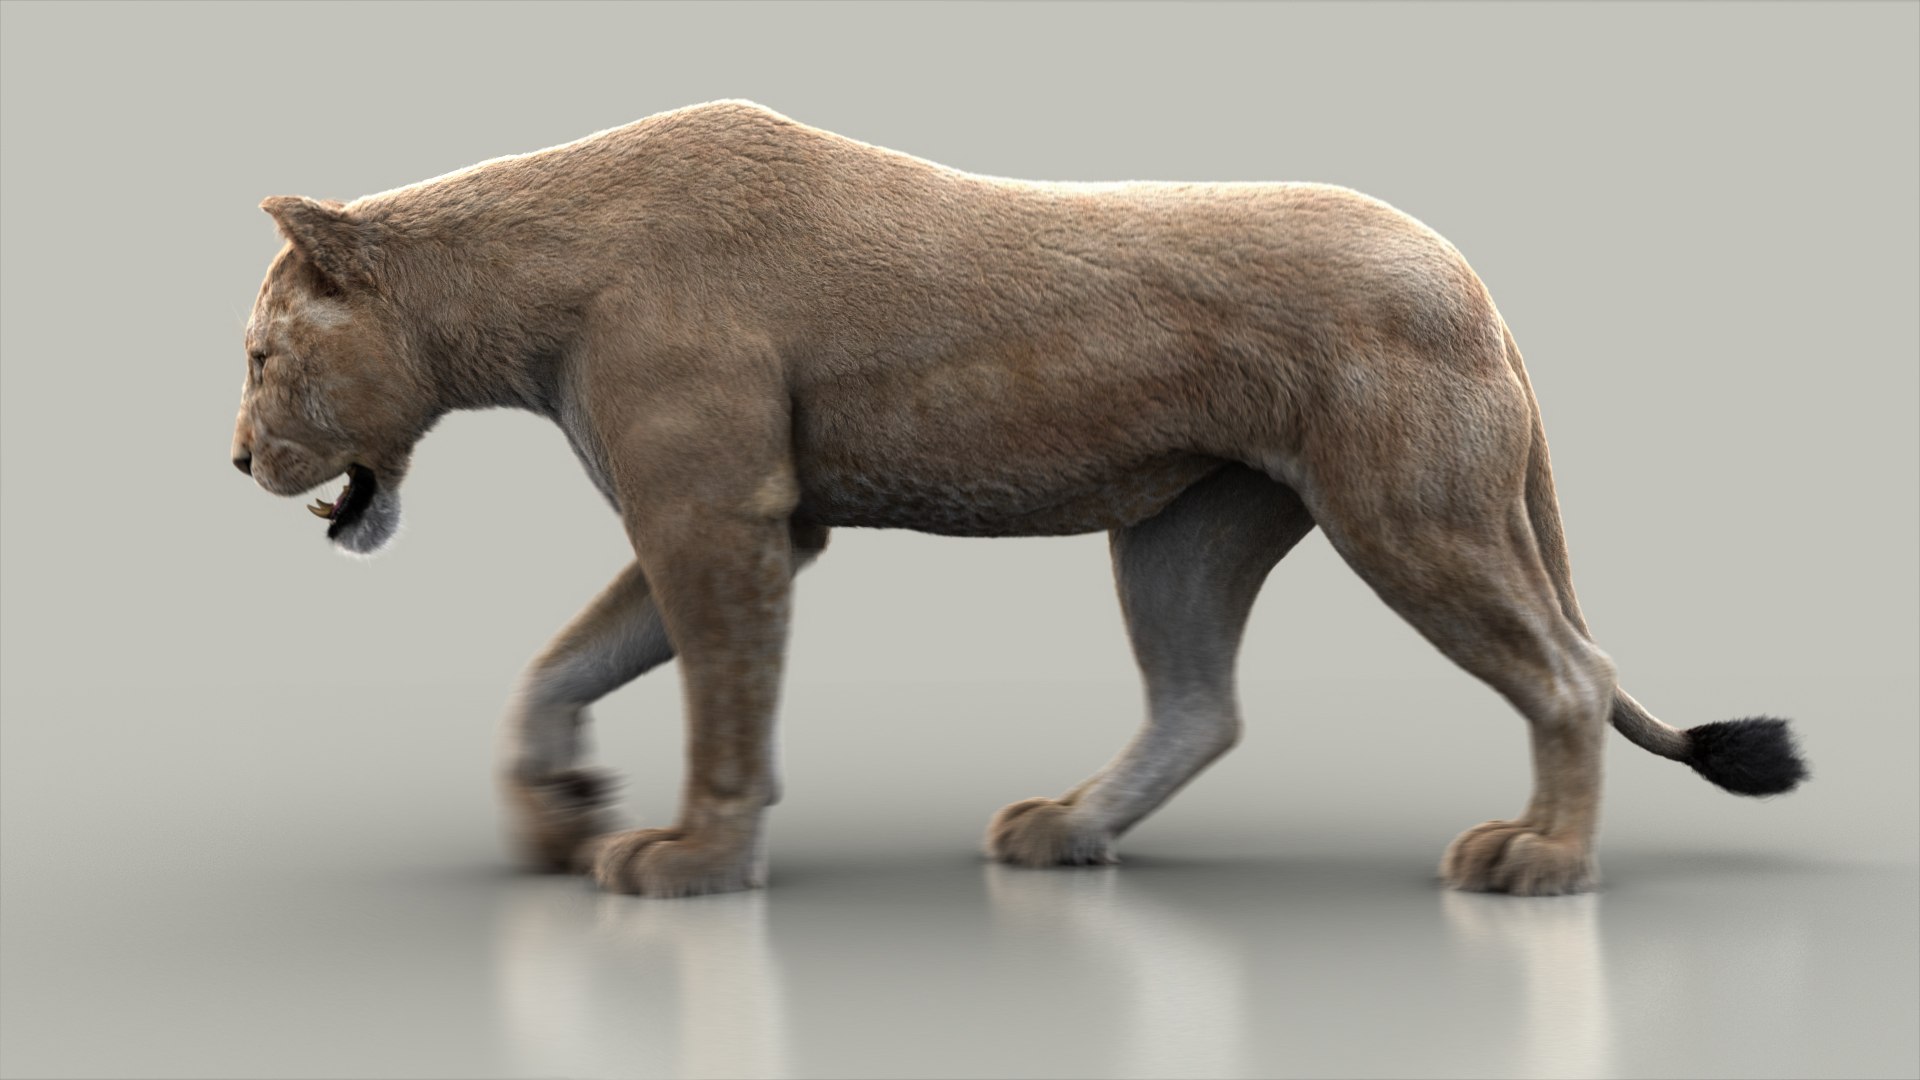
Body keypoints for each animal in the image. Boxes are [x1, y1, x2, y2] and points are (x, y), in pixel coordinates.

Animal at [231, 100, 1806, 898]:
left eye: (255, 356)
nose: (238, 461)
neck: (518, 292)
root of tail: (1478, 283)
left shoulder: (716, 513)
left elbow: (718, 698)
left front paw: (694, 856)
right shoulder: (745, 516)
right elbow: (558, 665)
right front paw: (557, 812)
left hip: (1413, 519)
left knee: (1567, 673)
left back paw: (1542, 860)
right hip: (1183, 533)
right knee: (1201, 705)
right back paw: (1067, 831)